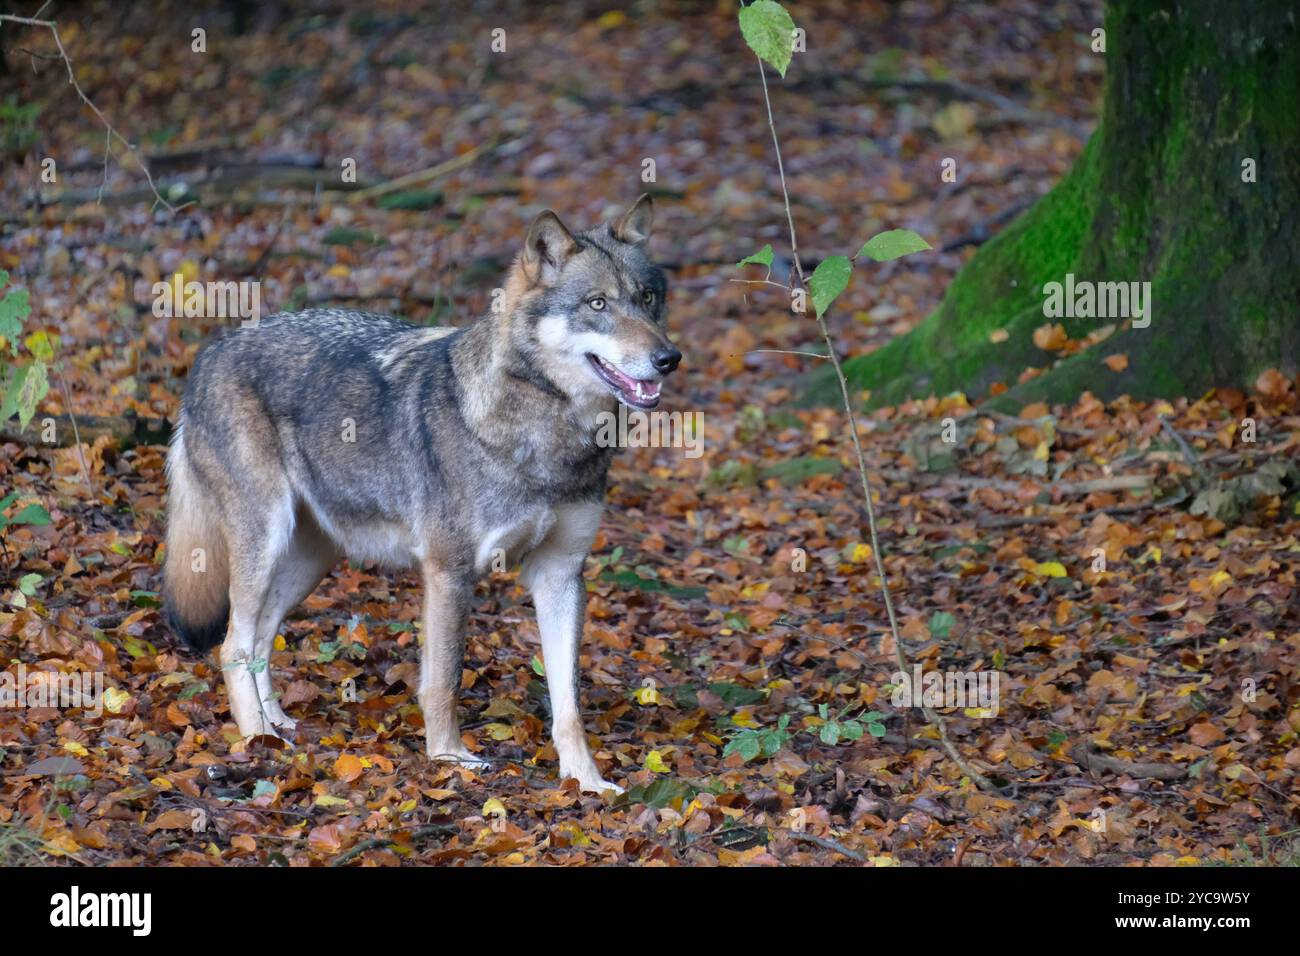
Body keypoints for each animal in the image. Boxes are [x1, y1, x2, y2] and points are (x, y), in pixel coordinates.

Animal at [162, 196, 680, 793]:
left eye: (647, 299)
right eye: (598, 303)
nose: (669, 358)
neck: (546, 436)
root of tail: (210, 351)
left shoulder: (560, 574)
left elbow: (568, 702)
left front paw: (586, 782)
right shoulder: (449, 571)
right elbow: (444, 681)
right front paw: (450, 760)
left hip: (310, 560)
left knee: (262, 637)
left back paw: (277, 726)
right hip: (264, 543)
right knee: (233, 644)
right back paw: (255, 741)